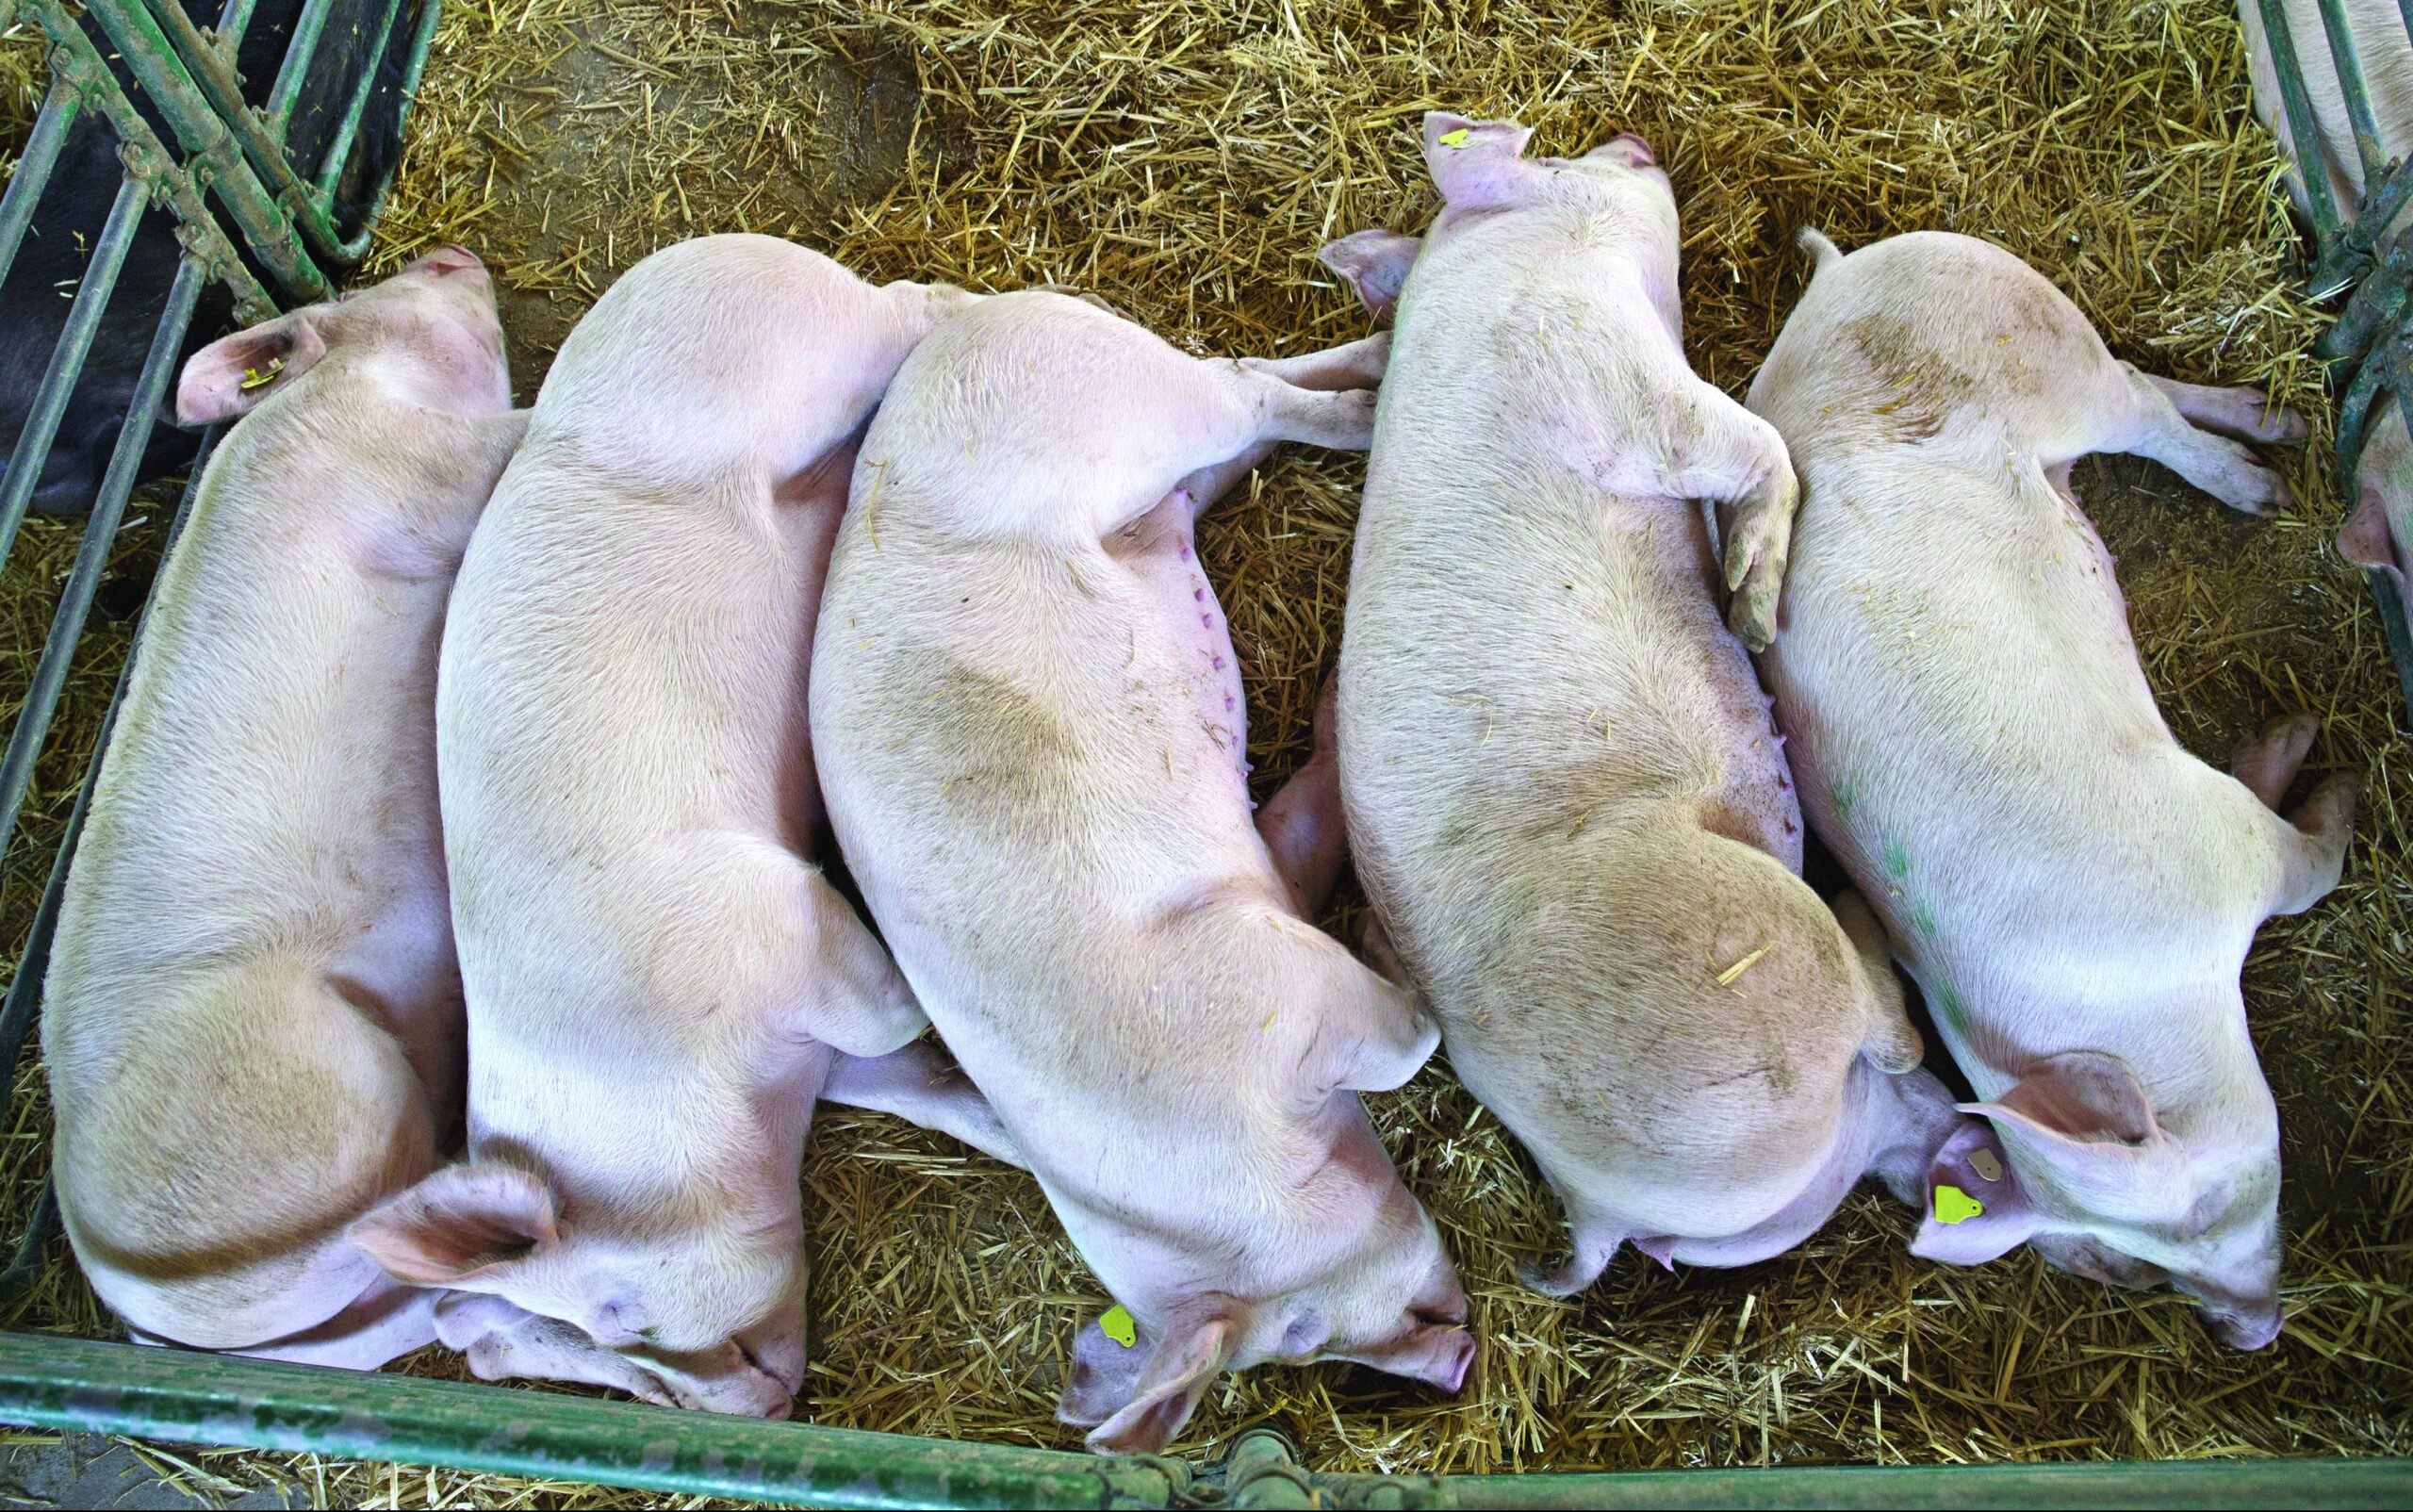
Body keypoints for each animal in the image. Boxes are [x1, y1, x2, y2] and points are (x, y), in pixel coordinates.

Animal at [348, 235, 1016, 1417]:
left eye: (620, 1315)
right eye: (568, 1354)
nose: (754, 1403)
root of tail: (676, 260)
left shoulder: (770, 914)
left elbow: (886, 1015)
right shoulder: (806, 1050)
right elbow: (912, 1090)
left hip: (792, 351)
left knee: (903, 308)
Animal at [809, 288, 1473, 1456]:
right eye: (1303, 1341)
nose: (1454, 1365)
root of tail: (972, 323)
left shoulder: (1278, 988)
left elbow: (1401, 1044)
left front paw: (1409, 985)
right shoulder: (1271, 894)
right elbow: (1302, 825)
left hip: (1124, 404)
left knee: (1240, 385)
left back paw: (1370, 399)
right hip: (1165, 467)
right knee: (1241, 398)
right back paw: (1380, 360)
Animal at [1321, 115, 1960, 1301]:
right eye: (1560, 163)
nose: (1632, 136)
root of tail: (1598, 1206)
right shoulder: (1625, 386)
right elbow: (1758, 447)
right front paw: (1752, 607)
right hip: (1761, 953)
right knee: (1884, 1024)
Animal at [1746, 227, 2352, 1349]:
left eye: (2202, 1205)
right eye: (2146, 1266)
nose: (2250, 1332)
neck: (2144, 990)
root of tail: (1843, 273)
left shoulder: (2230, 848)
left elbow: (2316, 865)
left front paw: (2332, 764)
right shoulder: (2222, 826)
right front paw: (2297, 740)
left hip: (2035, 342)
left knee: (2139, 401)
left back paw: (2266, 482)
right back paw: (2274, 429)